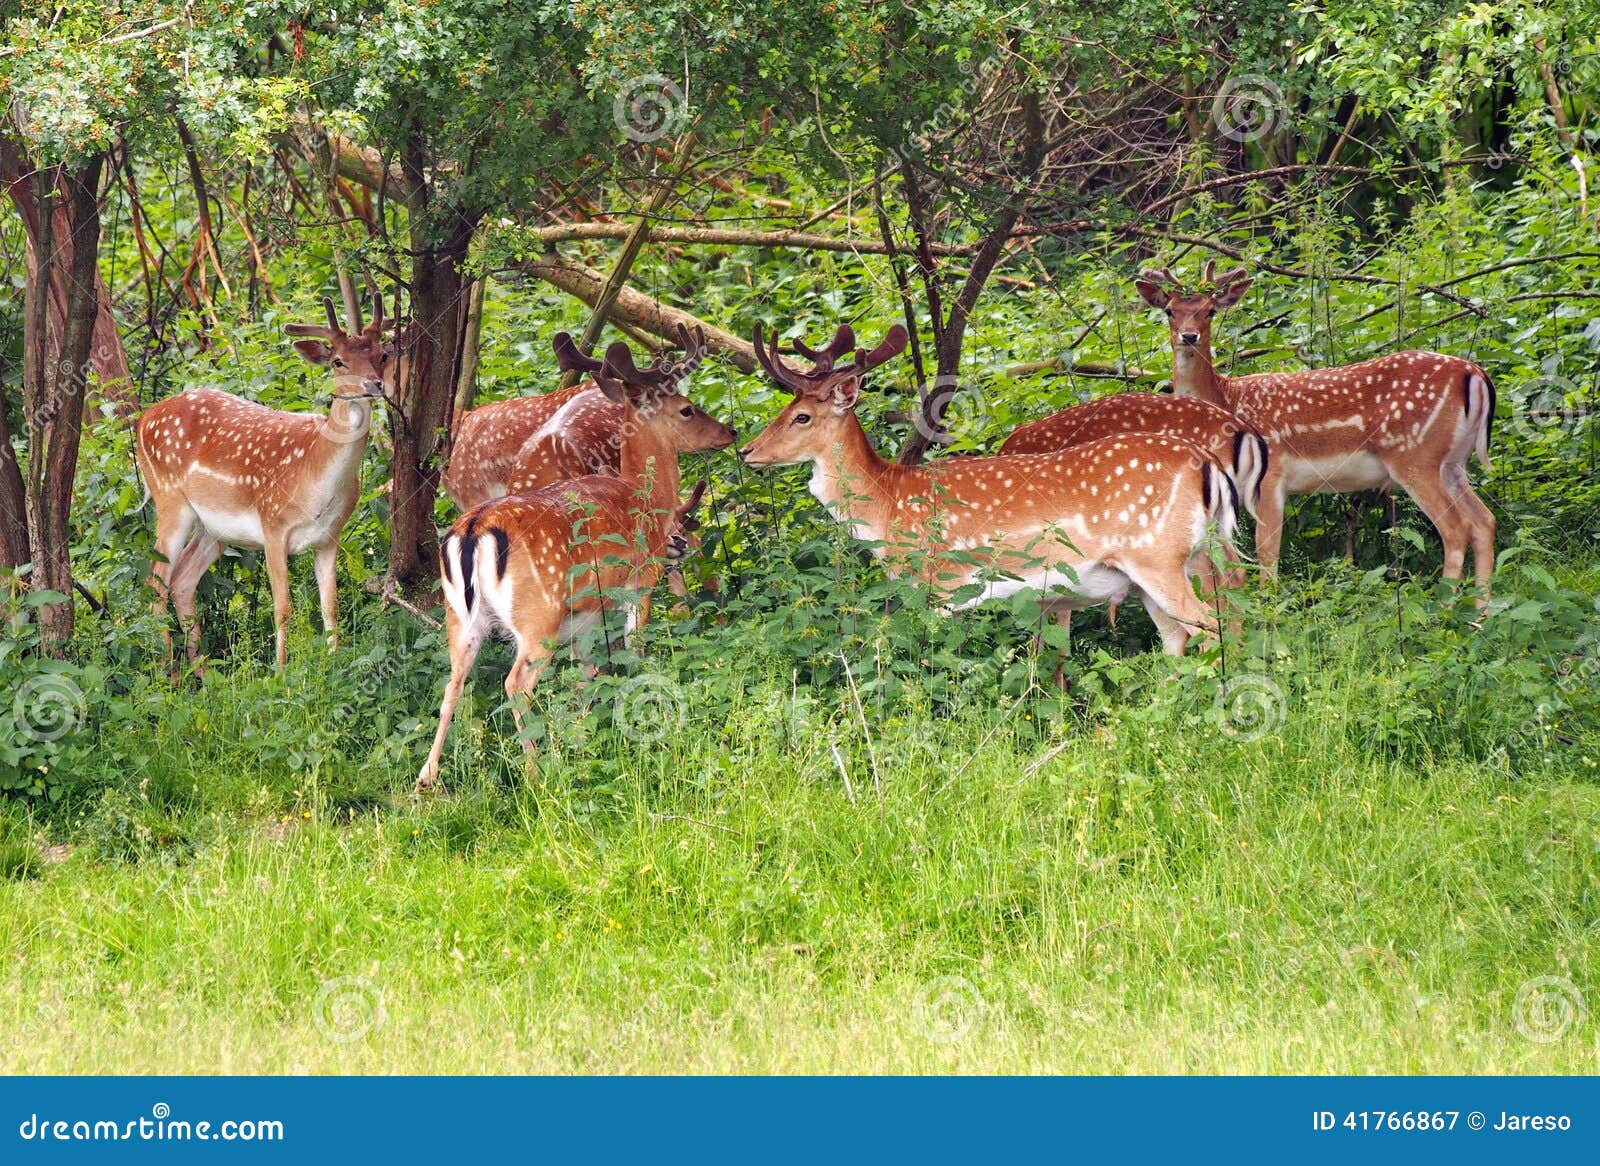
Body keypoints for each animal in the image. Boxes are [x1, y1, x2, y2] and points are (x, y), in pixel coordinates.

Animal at [136, 294, 396, 671]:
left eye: (381, 355)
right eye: (338, 361)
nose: (374, 384)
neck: (315, 477)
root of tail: (142, 419)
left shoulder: (329, 538)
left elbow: (330, 608)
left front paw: (334, 665)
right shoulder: (273, 525)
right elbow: (283, 608)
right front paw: (281, 671)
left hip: (213, 528)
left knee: (182, 579)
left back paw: (202, 672)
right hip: (169, 498)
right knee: (156, 582)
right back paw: (167, 672)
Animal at [415, 328, 736, 793]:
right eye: (687, 409)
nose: (729, 431)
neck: (643, 497)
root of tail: (474, 529)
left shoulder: (584, 616)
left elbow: (586, 674)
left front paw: (583, 731)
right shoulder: (639, 582)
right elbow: (634, 649)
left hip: (459, 616)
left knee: (452, 684)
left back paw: (425, 779)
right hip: (538, 615)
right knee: (515, 684)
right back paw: (536, 773)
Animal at [739, 322, 1244, 658]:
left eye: (802, 417)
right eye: (785, 408)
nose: (747, 450)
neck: (888, 504)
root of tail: (1209, 464)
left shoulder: (940, 584)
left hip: (1160, 557)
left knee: (1215, 628)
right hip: (1154, 571)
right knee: (1178, 638)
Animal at [1136, 262, 1496, 604]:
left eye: (1210, 309)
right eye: (1169, 310)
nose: (1189, 336)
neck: (1228, 401)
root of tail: (1475, 373)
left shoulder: (1271, 475)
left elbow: (1267, 551)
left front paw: (1268, 612)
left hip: (1415, 455)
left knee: (1455, 528)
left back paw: (1446, 609)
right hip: (1453, 462)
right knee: (1484, 521)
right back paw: (1480, 612)